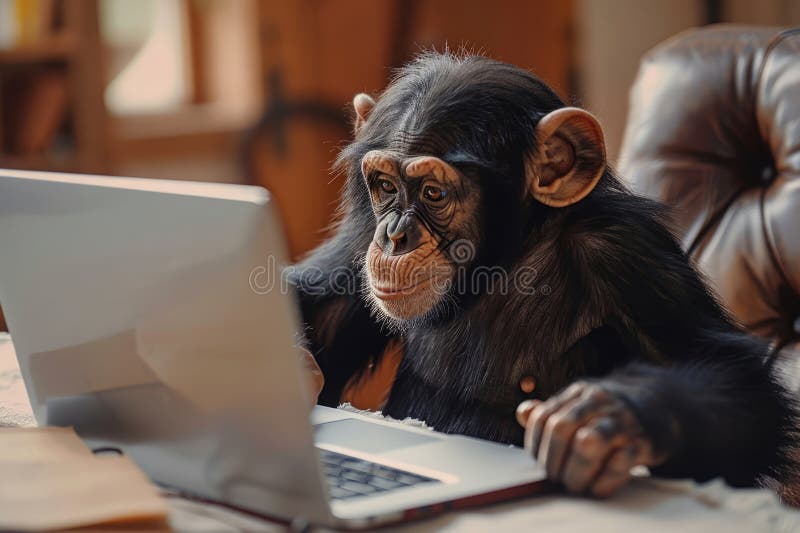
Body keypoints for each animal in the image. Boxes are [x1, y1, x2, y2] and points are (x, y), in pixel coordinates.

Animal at [289, 51, 798, 499]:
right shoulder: (361, 237)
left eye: (433, 192)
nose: (394, 236)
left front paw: (610, 420)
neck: (501, 265)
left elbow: (732, 377)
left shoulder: (626, 251)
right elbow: (317, 303)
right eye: (385, 187)